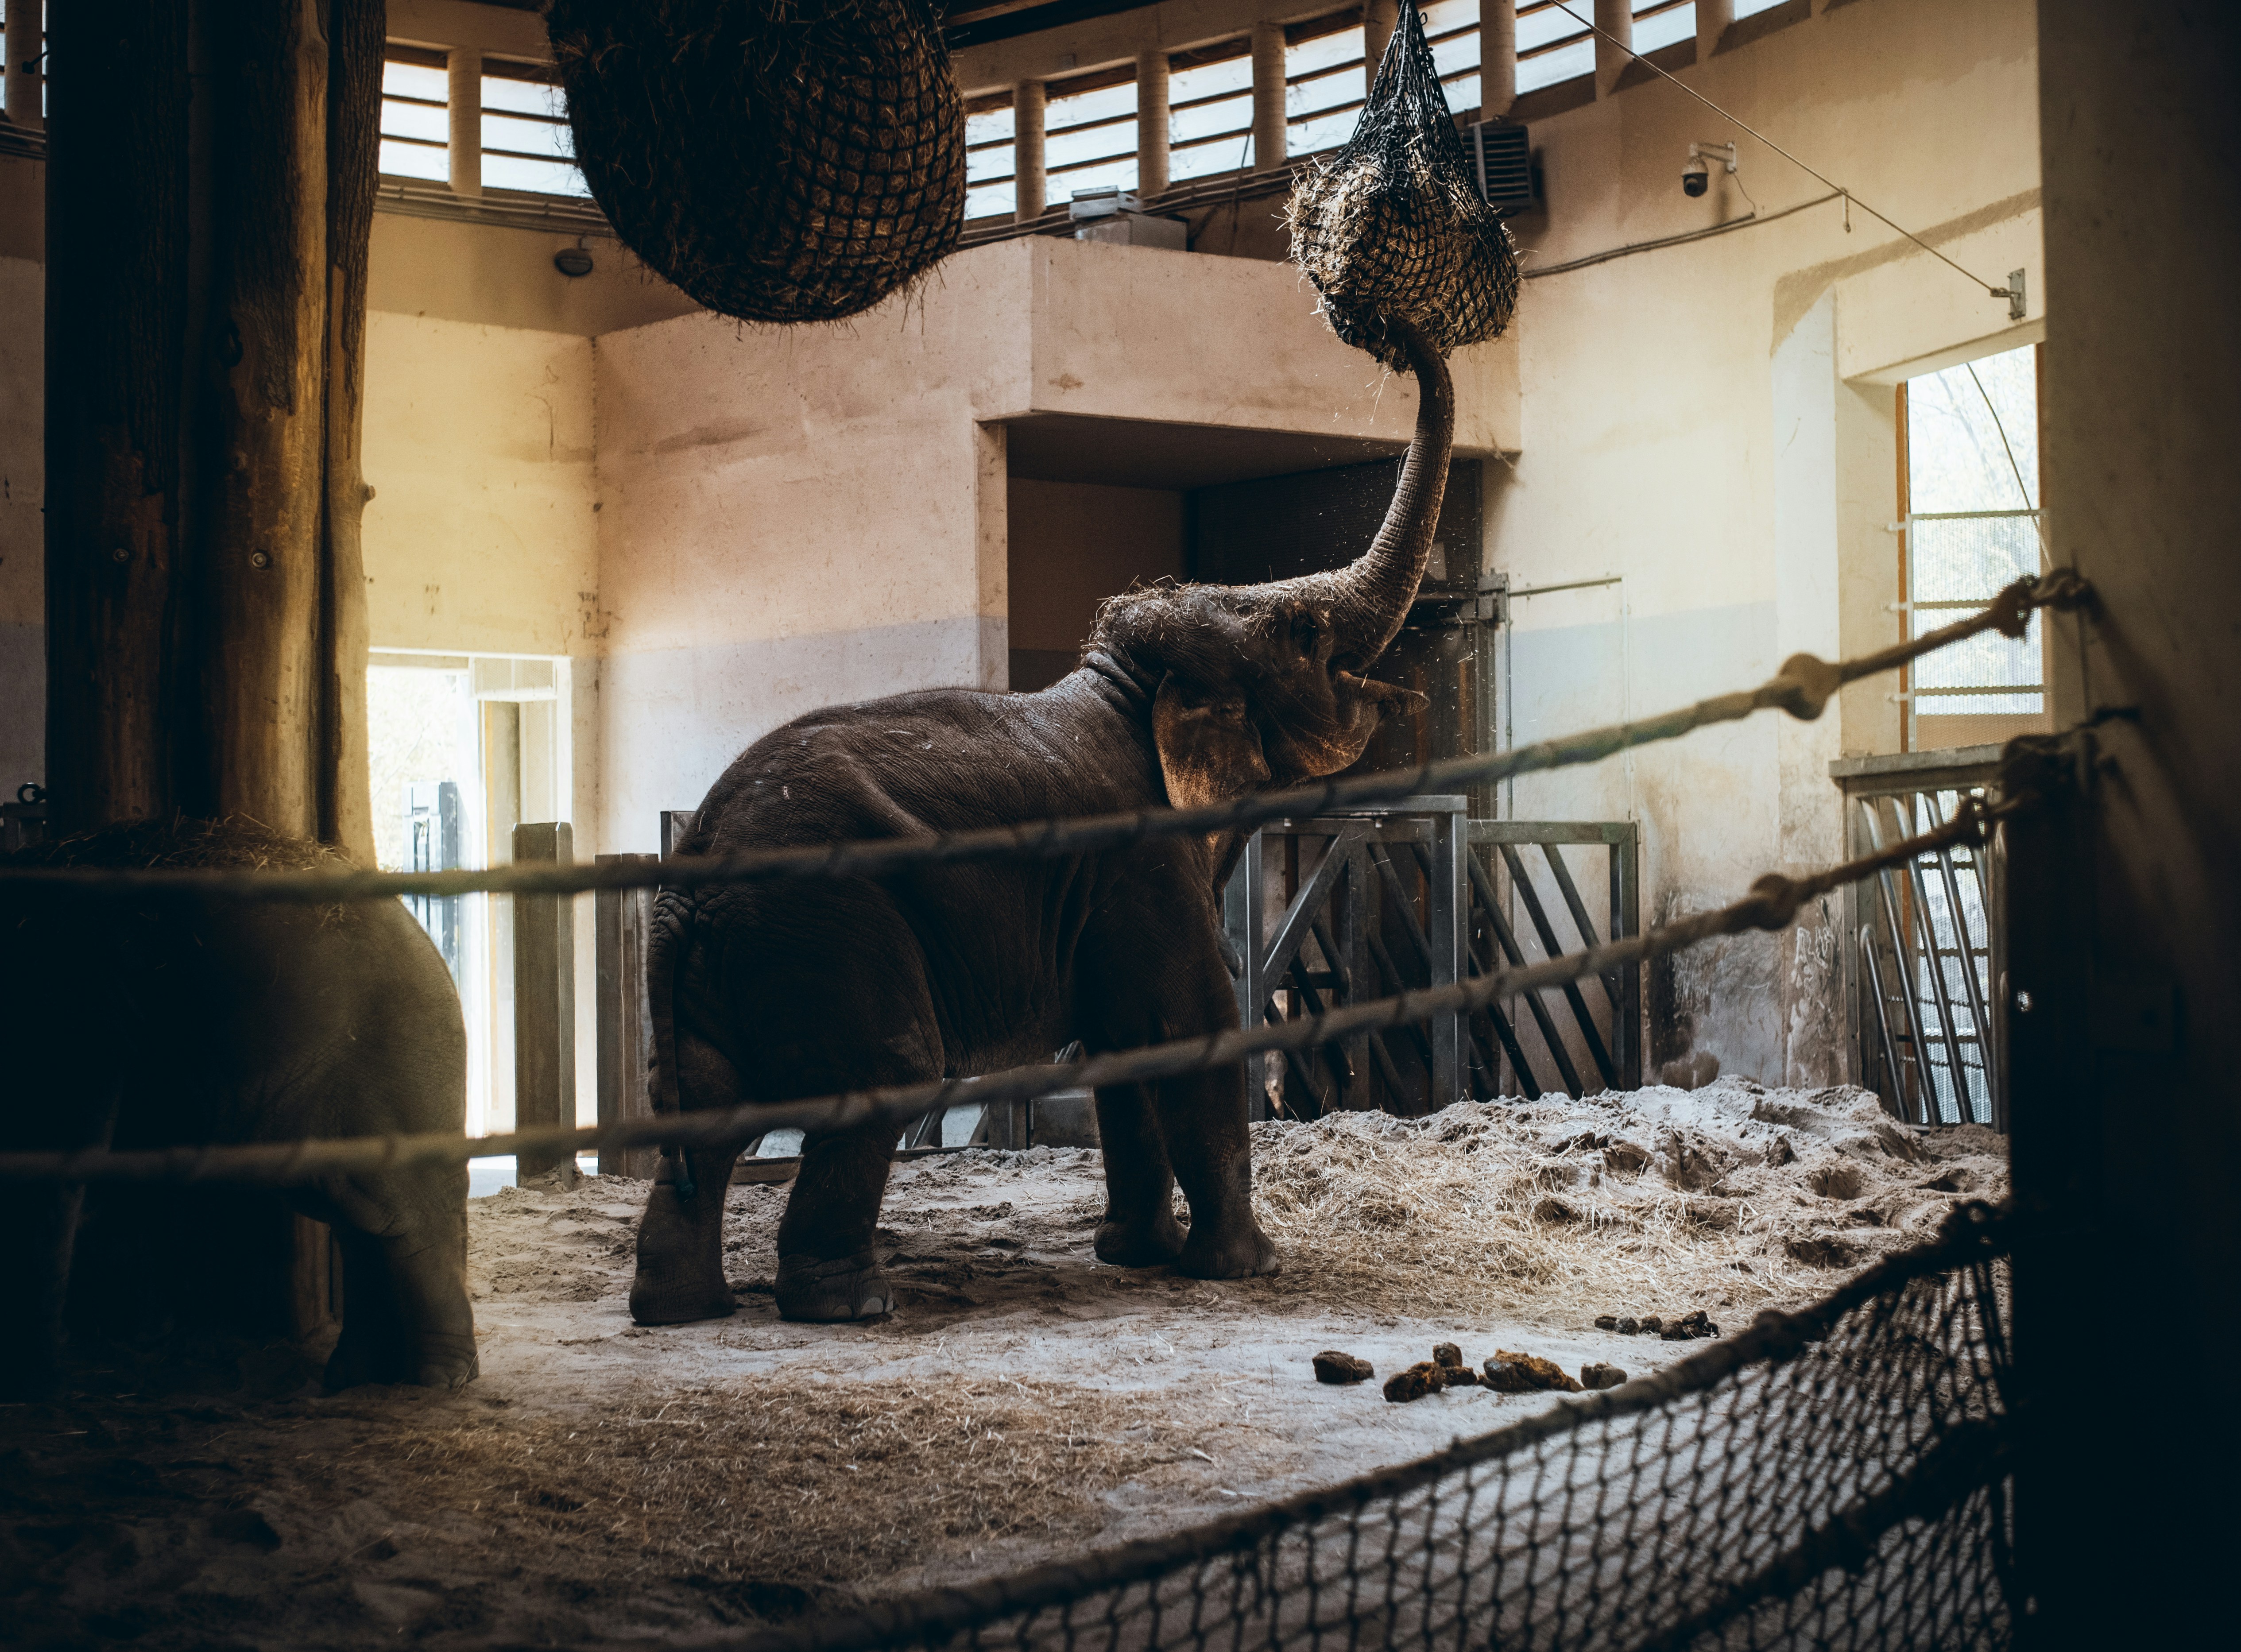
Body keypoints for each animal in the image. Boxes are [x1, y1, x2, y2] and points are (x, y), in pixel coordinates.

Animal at [0, 817, 478, 1396]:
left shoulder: (76, 1014)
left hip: (394, 1068)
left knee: (400, 1213)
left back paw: (436, 1380)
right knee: (359, 1214)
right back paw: (354, 1377)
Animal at [631, 318, 1454, 1326]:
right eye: (1304, 631)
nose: (1391, 332)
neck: (1135, 687)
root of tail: (696, 864)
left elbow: (1120, 1051)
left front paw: (1136, 1256)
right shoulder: (1139, 863)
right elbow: (1188, 1026)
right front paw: (1246, 1267)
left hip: (729, 965)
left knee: (700, 1111)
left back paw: (682, 1307)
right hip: (830, 928)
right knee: (886, 1078)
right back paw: (851, 1305)